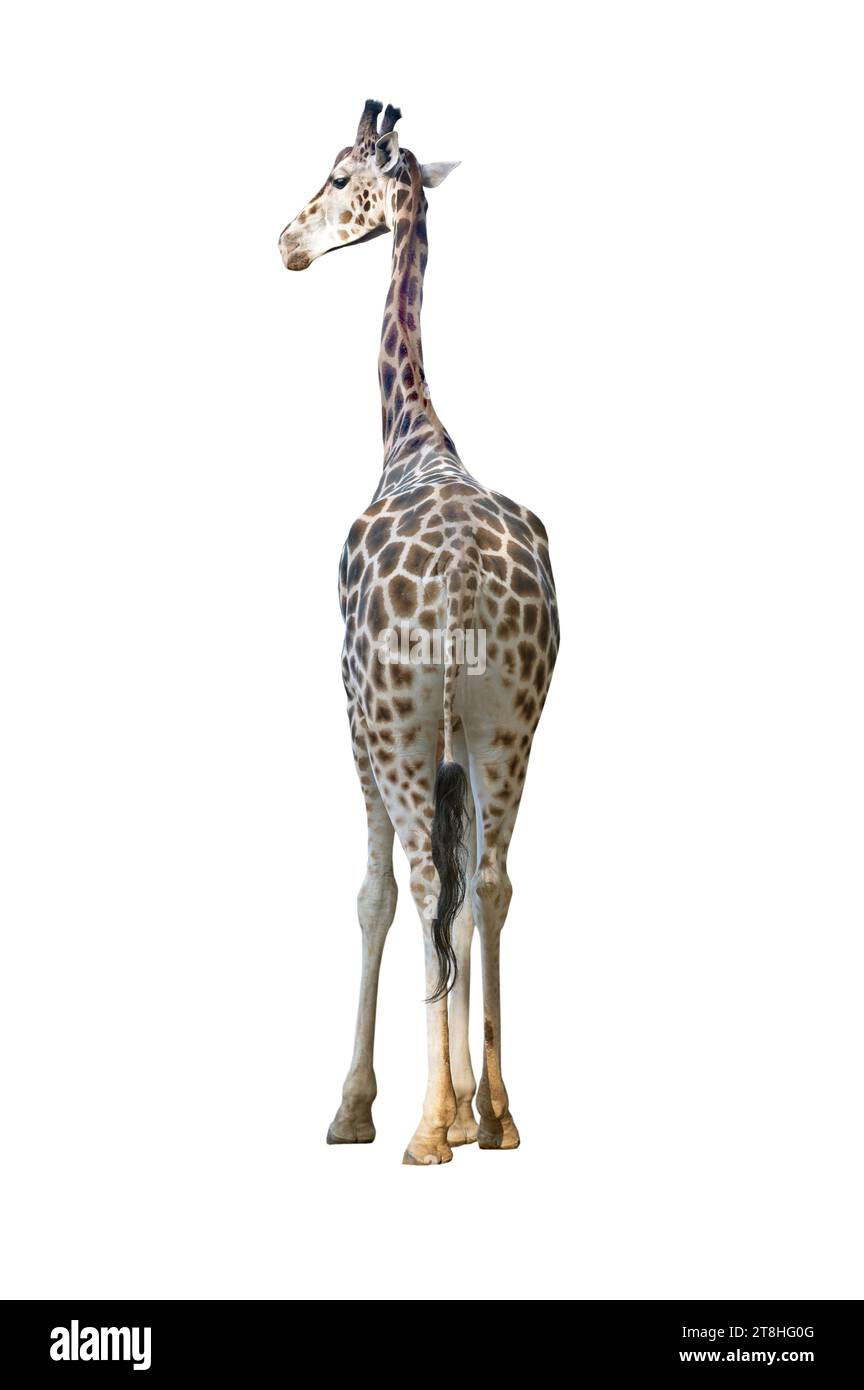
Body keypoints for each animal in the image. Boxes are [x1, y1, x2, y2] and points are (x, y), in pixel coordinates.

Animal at [278, 100, 559, 1164]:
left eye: (336, 176)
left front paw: (357, 1107)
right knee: (490, 881)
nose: (288, 243)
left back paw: (427, 1128)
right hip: (512, 720)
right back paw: (501, 1116)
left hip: (398, 719)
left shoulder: (355, 715)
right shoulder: (461, 732)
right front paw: (474, 1106)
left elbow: (376, 897)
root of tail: (464, 573)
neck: (415, 435)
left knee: (427, 876)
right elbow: (463, 898)